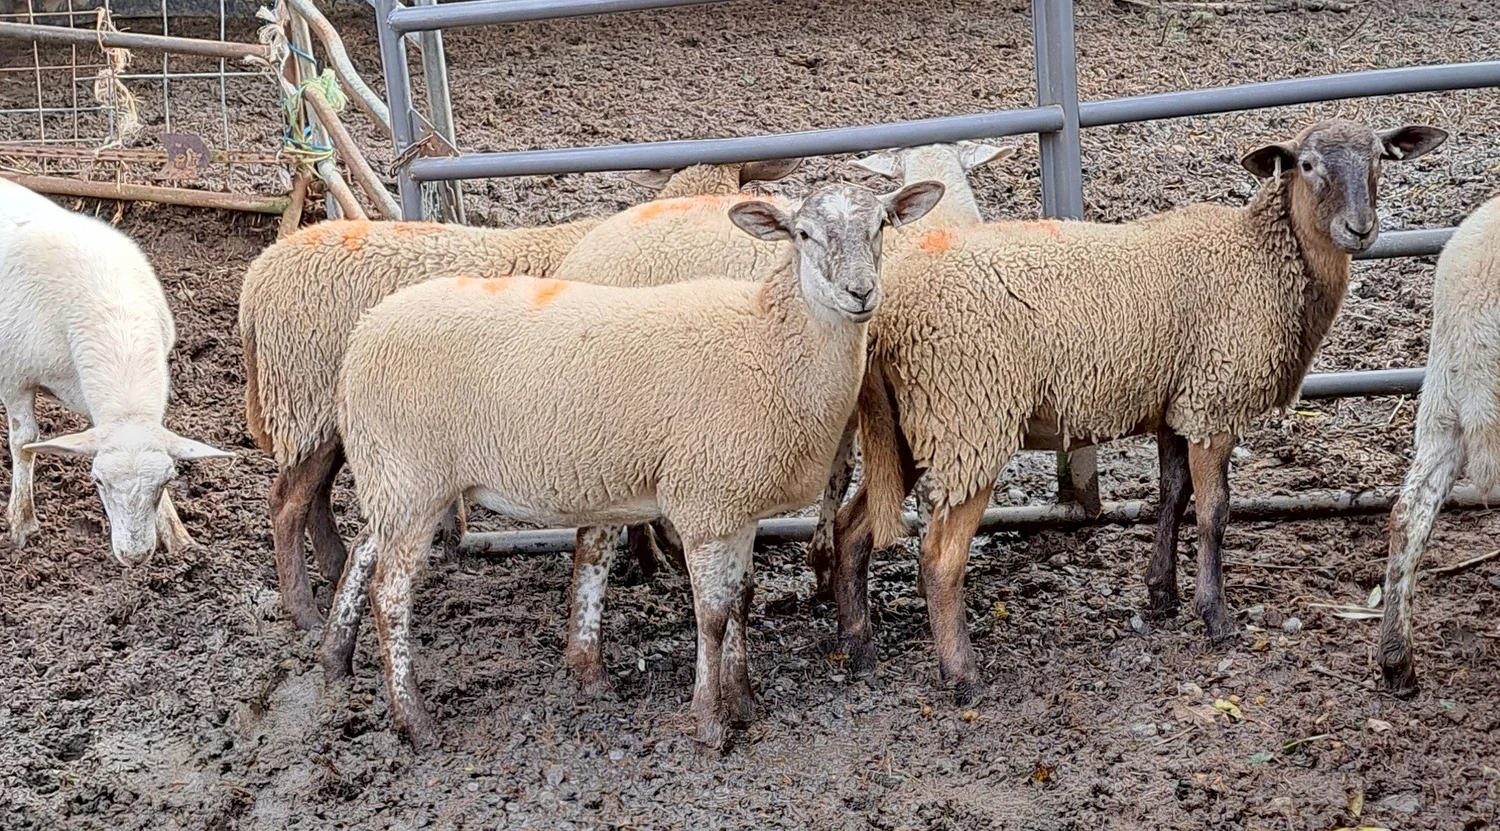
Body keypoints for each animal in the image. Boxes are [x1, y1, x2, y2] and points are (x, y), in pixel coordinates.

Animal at [1, 179, 232, 564]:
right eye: (97, 482)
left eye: (166, 482)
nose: (134, 556)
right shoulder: (14, 378)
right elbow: (24, 442)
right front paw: (22, 523)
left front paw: (179, 539)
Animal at [238, 160, 800, 631]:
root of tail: (258, 275)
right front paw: (656, 559)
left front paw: (650, 559)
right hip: (308, 398)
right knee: (287, 502)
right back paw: (305, 612)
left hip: (334, 416)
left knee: (315, 495)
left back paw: (333, 573)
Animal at [320, 180, 946, 750]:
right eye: (804, 234)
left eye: (882, 226)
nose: (861, 292)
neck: (767, 341)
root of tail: (363, 334)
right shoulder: (705, 500)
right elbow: (712, 614)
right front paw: (710, 722)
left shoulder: (737, 505)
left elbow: (743, 599)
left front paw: (745, 701)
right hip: (411, 478)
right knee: (391, 594)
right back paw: (414, 722)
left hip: (393, 480)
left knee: (364, 551)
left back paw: (336, 659)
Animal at [549, 142, 1012, 692]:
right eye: (806, 235)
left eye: (881, 223)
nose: (861, 292)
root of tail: (572, 262)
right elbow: (855, 478)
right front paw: (833, 566)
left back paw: (650, 556)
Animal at [829, 119, 1448, 704]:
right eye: (1309, 164)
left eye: (1379, 158)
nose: (1360, 229)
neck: (1261, 257)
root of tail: (887, 312)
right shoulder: (1213, 402)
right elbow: (1214, 511)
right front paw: (1215, 616)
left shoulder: (1178, 403)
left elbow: (1172, 496)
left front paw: (1161, 596)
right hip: (970, 420)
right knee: (938, 559)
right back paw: (961, 676)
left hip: (912, 427)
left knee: (850, 528)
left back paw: (859, 651)